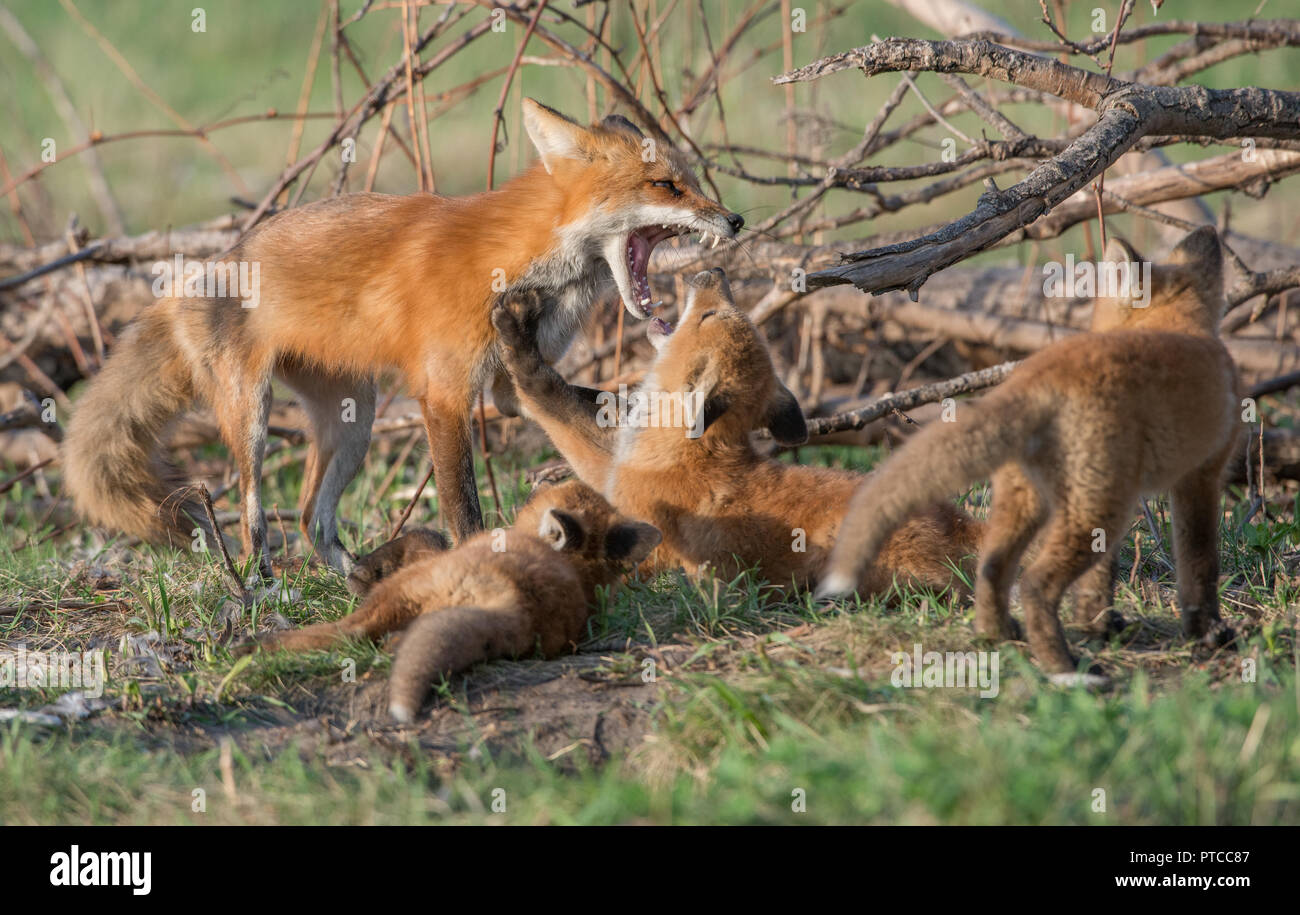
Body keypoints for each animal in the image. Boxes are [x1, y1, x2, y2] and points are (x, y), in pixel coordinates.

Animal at [61, 98, 741, 577]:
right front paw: (477, 563)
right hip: (253, 418)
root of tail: (210, 264)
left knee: (310, 517)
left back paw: (356, 575)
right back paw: (263, 589)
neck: (522, 267)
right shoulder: (444, 394)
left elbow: (584, 400)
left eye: (689, 179)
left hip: (352, 423)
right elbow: (463, 504)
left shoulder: (508, 384)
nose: (735, 219)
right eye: (666, 187)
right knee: (257, 521)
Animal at [238, 479, 660, 723]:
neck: (576, 571)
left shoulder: (434, 557)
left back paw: (254, 645)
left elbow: (424, 535)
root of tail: (522, 612)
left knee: (350, 633)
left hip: (404, 592)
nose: (535, 479)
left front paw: (364, 571)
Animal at [489, 268, 984, 596]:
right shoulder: (612, 465)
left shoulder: (628, 511)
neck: (686, 451)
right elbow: (561, 402)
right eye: (720, 312)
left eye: (708, 316)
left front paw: (515, 339)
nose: (714, 270)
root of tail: (960, 523)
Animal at [817, 226, 1241, 680]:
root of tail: (1038, 374)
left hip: (1036, 500)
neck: (1175, 321)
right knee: (1035, 584)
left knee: (992, 568)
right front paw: (1207, 634)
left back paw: (998, 636)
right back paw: (1064, 668)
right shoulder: (1202, 474)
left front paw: (1099, 627)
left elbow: (1099, 581)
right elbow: (1200, 565)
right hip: (1101, 505)